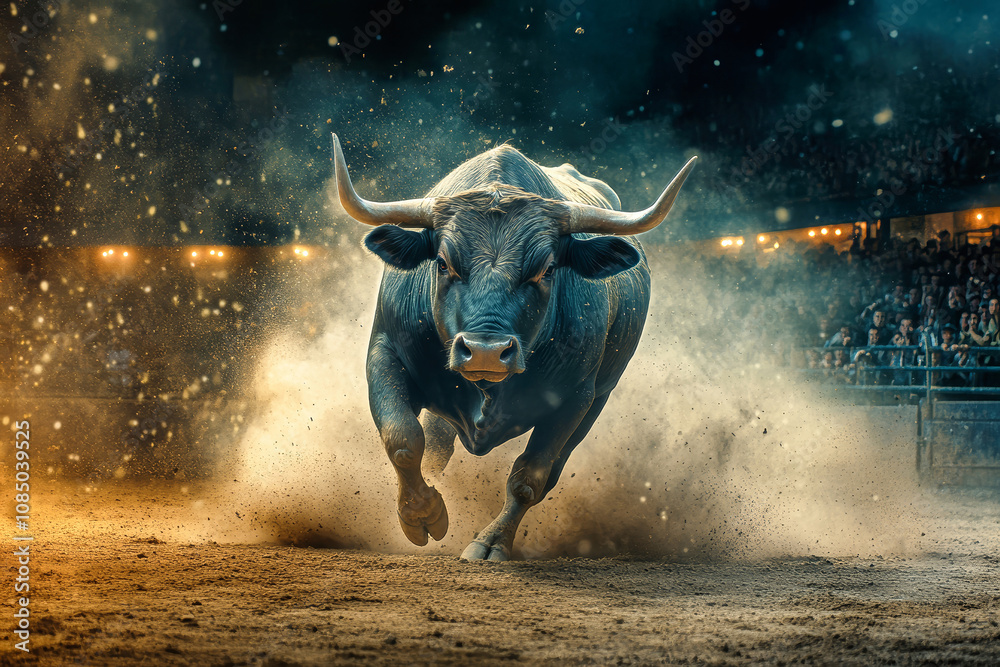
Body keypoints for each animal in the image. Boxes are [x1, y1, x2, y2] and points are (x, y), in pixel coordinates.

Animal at [331, 134, 696, 561]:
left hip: (598, 399)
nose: (485, 351)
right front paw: (422, 516)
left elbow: (530, 476)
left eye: (548, 269)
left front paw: (491, 543)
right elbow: (403, 438)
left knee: (550, 471)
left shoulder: (575, 398)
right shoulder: (385, 354)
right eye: (442, 263)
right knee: (436, 444)